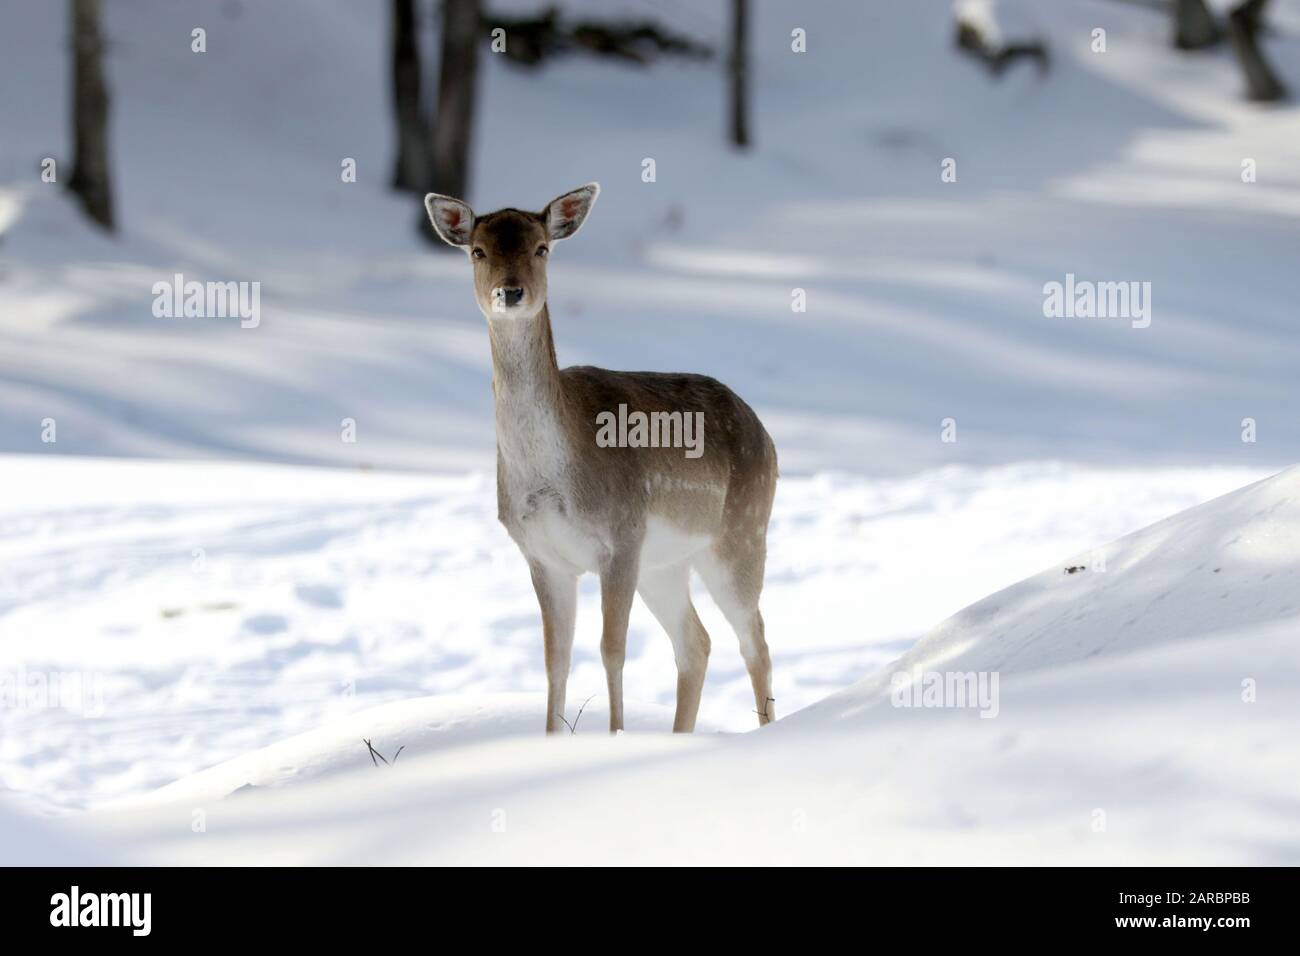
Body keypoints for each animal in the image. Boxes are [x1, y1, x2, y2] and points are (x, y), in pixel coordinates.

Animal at [424, 183, 778, 734]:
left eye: (541, 248)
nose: (510, 292)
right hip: (665, 564)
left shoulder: (621, 536)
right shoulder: (542, 555)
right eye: (478, 251)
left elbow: (612, 649)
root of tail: (767, 435)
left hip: (741, 534)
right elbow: (556, 659)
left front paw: (615, 735)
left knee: (755, 640)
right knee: (697, 643)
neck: (553, 477)